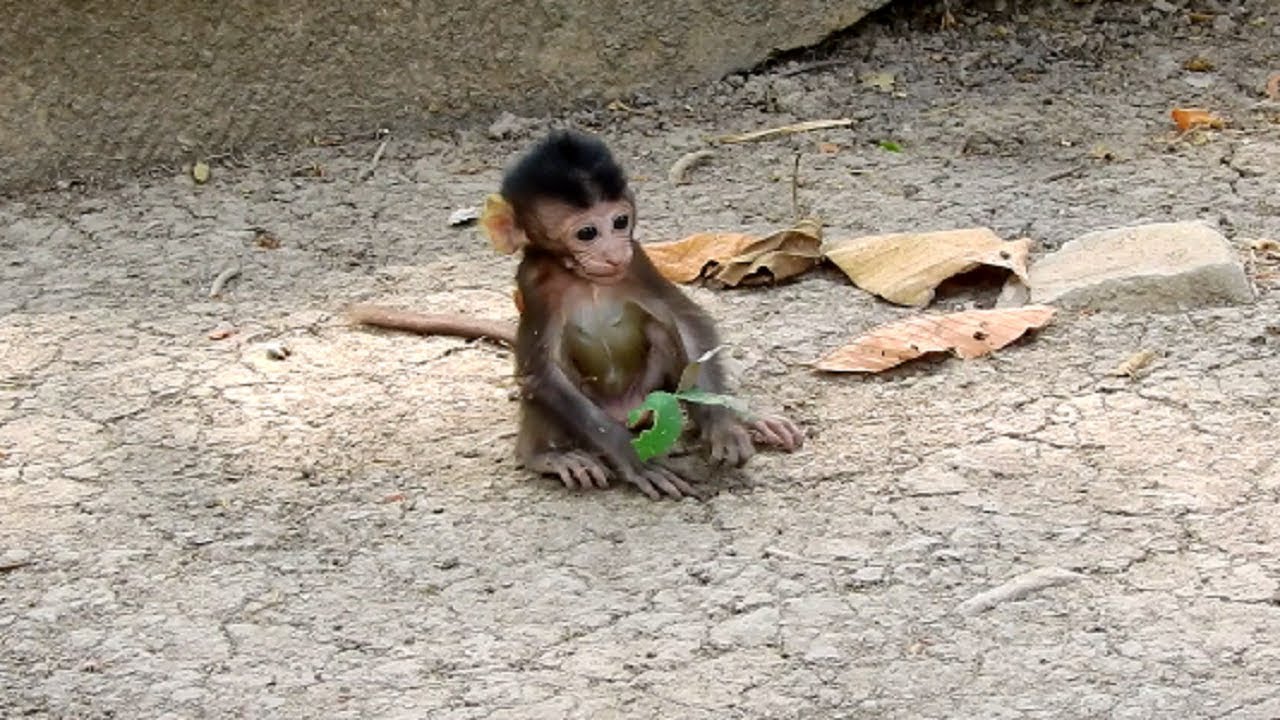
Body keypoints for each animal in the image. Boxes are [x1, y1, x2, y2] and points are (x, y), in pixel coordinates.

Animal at [351, 131, 803, 499]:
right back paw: (545, 456)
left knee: (661, 332)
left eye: (620, 221)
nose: (613, 252)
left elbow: (688, 321)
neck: (582, 276)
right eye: (587, 232)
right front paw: (633, 459)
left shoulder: (638, 262)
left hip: (647, 397)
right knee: (542, 384)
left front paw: (724, 427)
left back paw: (749, 421)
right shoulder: (534, 284)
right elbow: (540, 371)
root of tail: (628, 412)